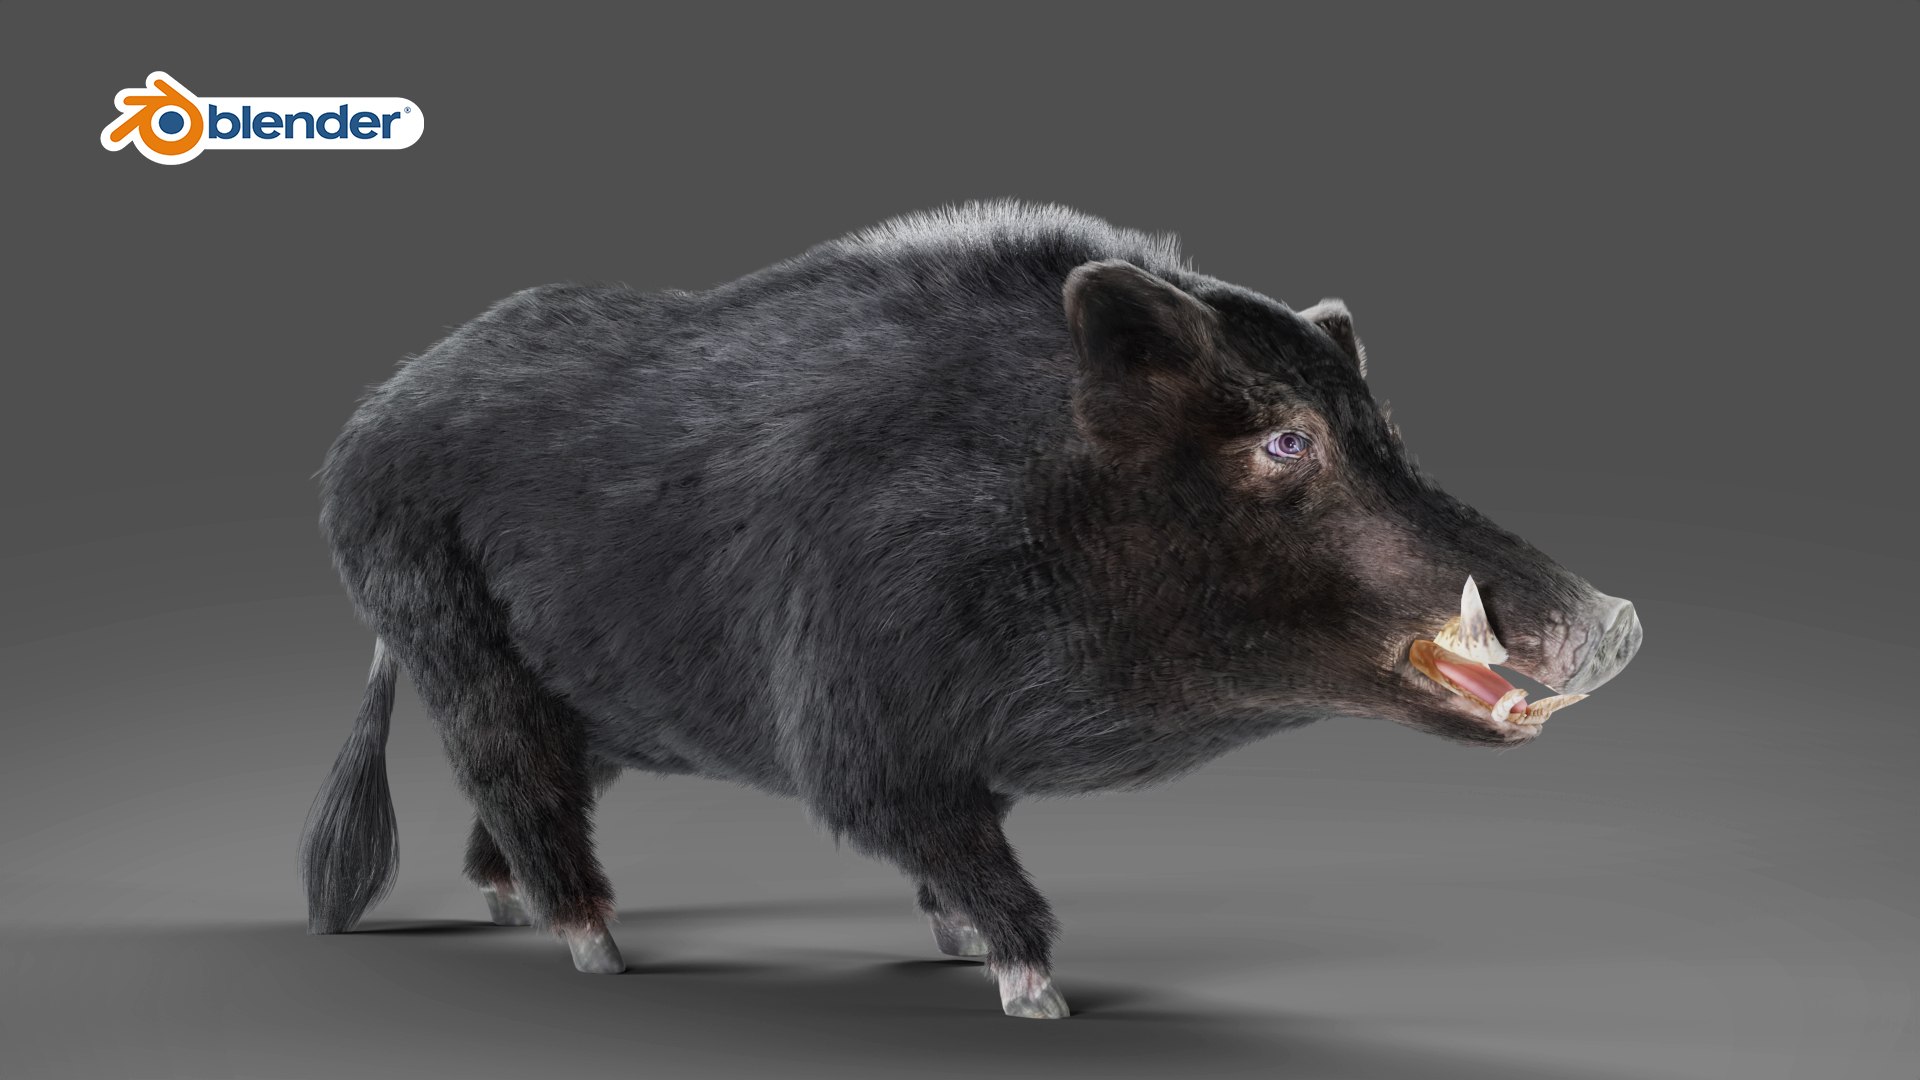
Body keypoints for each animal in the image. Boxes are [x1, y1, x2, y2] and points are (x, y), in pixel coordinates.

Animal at [302, 200, 1643, 1018]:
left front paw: (947, 945)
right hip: (454, 642)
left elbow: (959, 851)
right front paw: (1039, 995)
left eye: (1388, 434)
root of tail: (363, 426)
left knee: (518, 806)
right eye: (1284, 441)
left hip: (593, 703)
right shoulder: (856, 724)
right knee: (515, 781)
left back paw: (508, 908)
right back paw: (597, 951)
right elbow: (943, 843)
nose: (1620, 617)